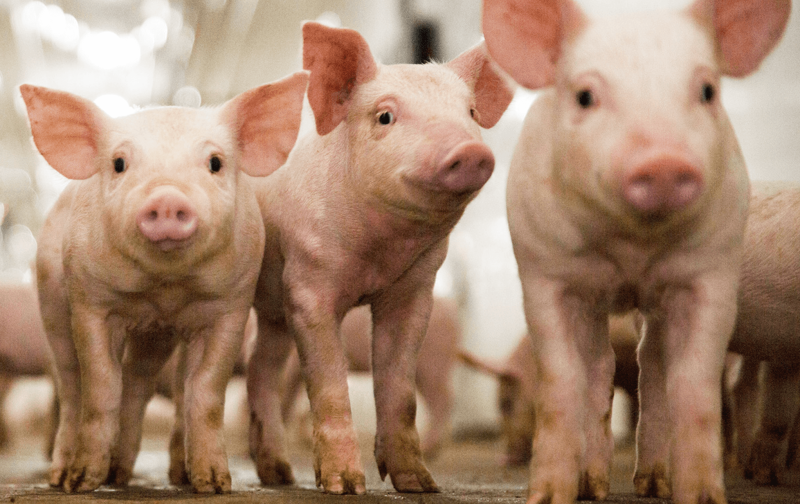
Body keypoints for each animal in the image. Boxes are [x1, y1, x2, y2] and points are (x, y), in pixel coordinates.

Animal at [21, 72, 308, 493]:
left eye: (215, 163)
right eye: (119, 163)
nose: (168, 198)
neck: (164, 289)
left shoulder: (230, 307)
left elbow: (205, 391)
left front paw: (215, 485)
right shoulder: (91, 303)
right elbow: (101, 387)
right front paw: (84, 483)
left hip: (155, 338)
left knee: (137, 382)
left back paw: (126, 474)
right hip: (52, 304)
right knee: (72, 387)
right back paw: (63, 477)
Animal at [481, 0, 790, 502]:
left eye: (707, 90)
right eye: (585, 96)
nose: (663, 162)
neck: (632, 251)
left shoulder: (710, 274)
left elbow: (695, 385)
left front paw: (702, 496)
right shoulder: (546, 274)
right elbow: (563, 380)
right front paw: (548, 495)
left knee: (652, 369)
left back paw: (652, 483)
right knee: (601, 368)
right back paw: (593, 486)